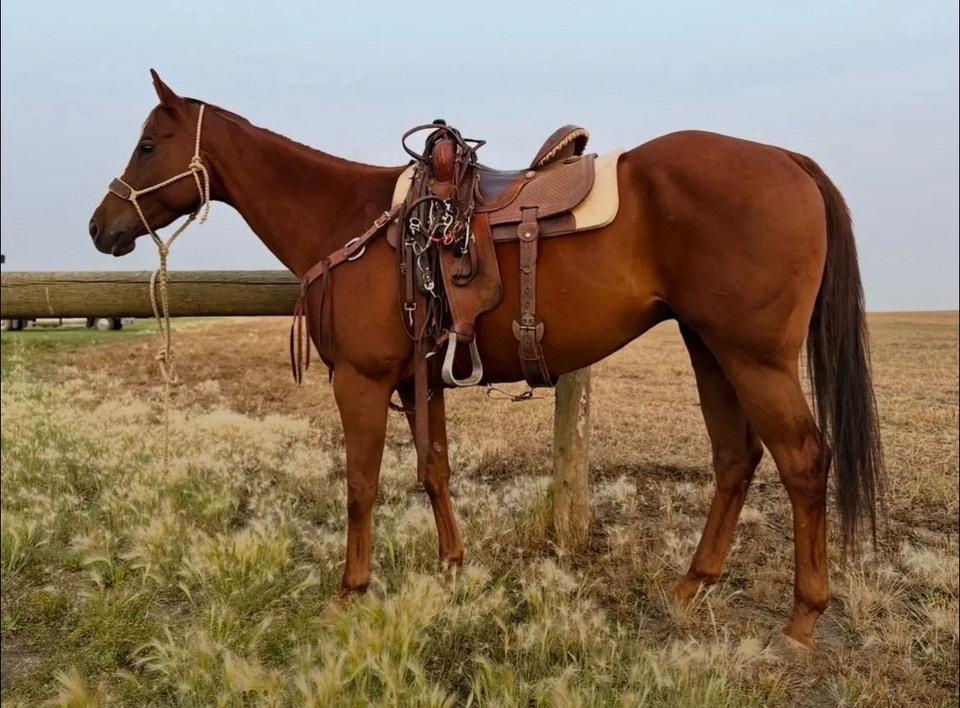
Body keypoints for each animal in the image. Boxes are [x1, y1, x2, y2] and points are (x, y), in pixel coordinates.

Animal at [87, 70, 883, 651]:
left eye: (149, 146)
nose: (102, 227)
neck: (351, 220)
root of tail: (789, 162)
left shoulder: (362, 383)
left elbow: (361, 485)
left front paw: (352, 591)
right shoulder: (422, 382)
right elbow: (433, 471)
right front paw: (452, 567)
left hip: (755, 357)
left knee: (803, 460)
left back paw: (803, 618)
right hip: (709, 347)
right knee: (735, 458)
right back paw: (693, 584)